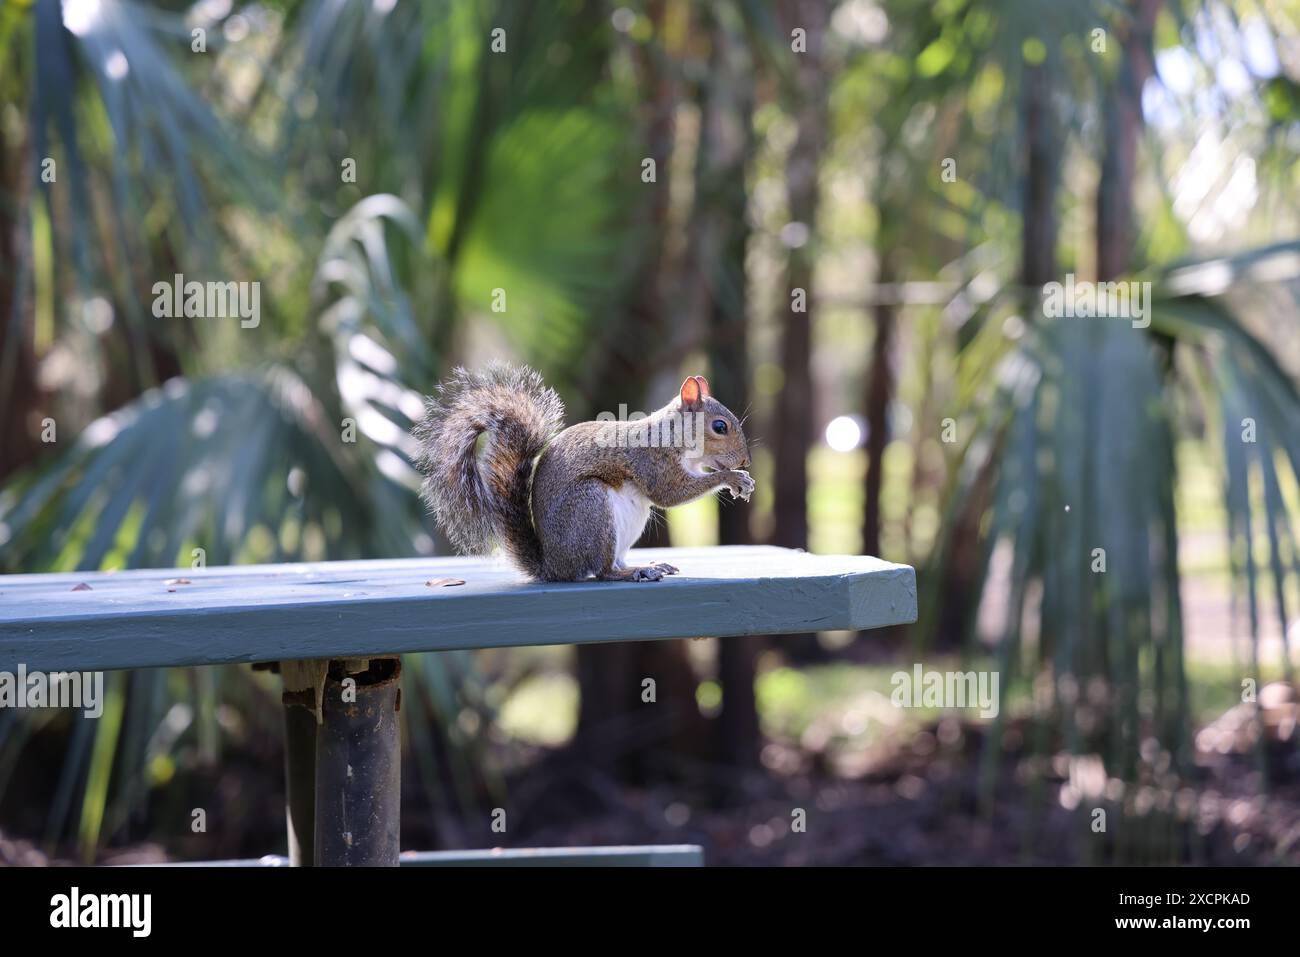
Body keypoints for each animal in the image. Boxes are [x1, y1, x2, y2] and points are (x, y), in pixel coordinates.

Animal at [413, 363, 754, 582]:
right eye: (719, 427)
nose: (745, 462)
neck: (670, 436)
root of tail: (555, 566)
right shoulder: (652, 462)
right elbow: (669, 495)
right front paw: (732, 478)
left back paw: (650, 564)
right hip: (591, 507)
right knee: (603, 570)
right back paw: (631, 572)